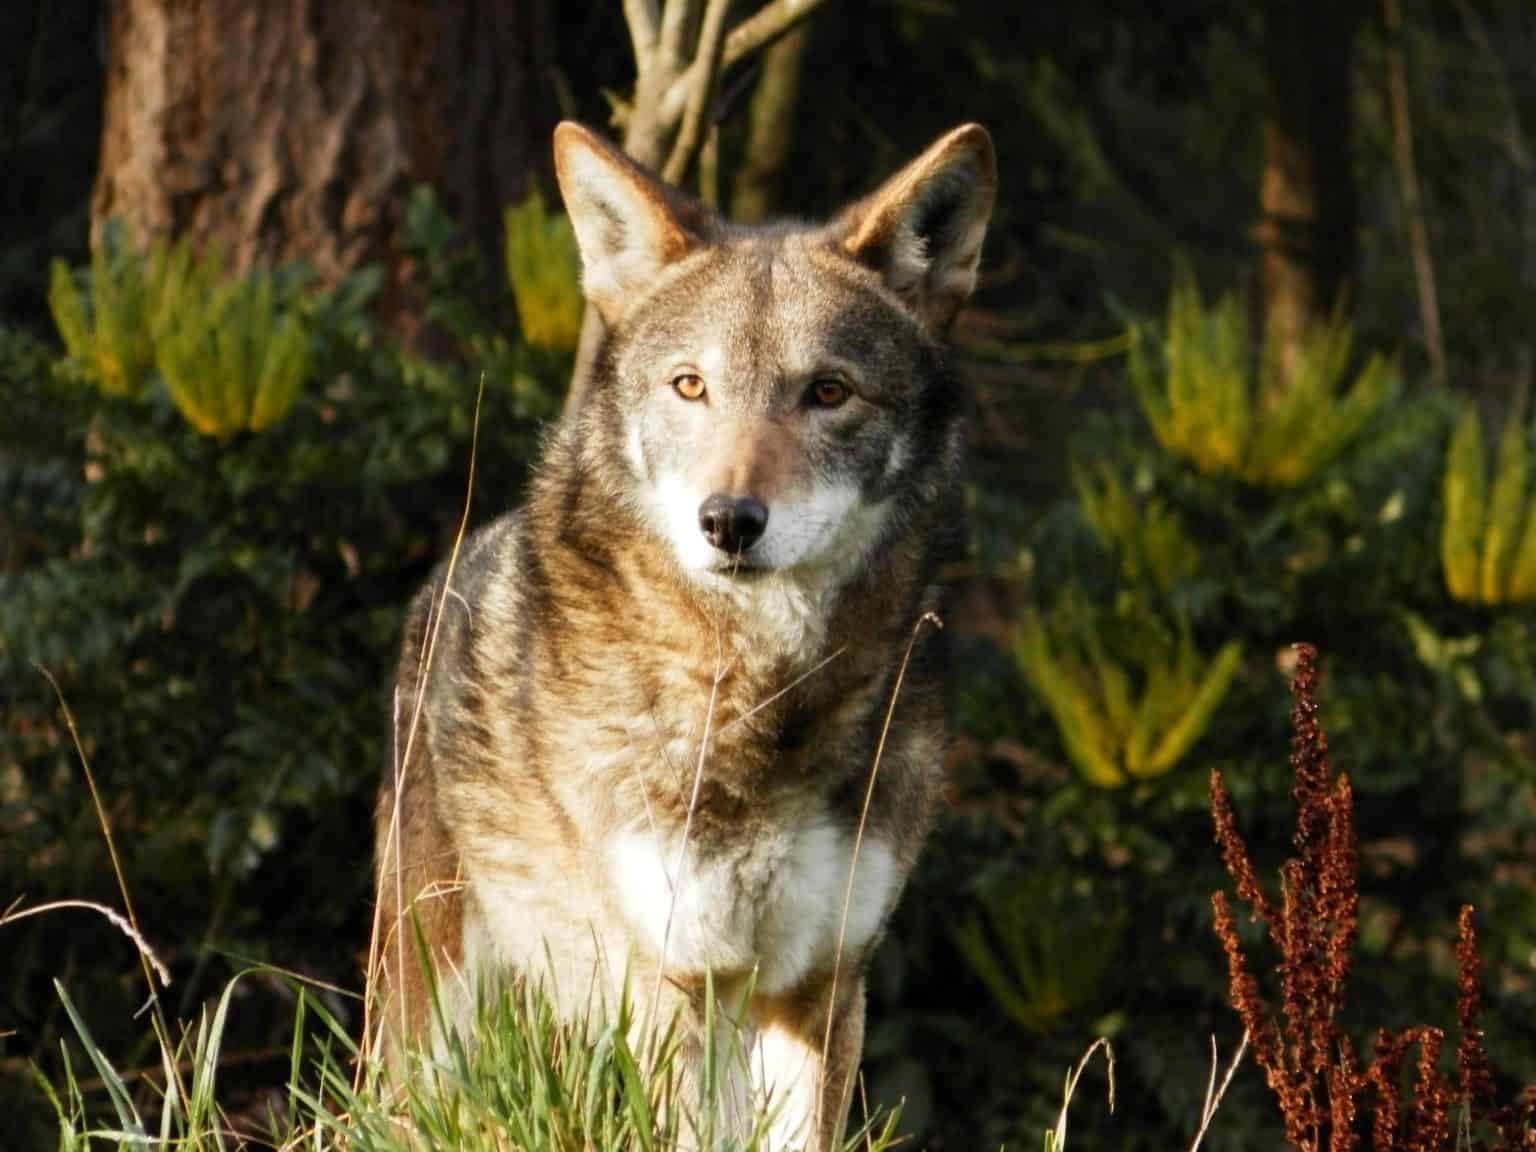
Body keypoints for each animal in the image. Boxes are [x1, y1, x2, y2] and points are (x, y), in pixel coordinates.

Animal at [374, 119, 995, 1150]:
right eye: (691, 386)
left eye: (829, 393)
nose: (729, 521)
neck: (760, 697)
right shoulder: (674, 986)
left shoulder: (825, 984)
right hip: (431, 1025)